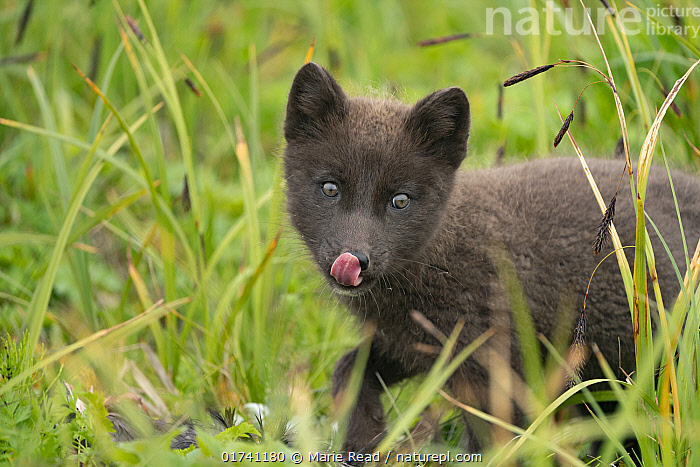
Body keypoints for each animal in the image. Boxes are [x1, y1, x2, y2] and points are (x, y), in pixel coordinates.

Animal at [282, 62, 700, 454]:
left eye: (400, 200)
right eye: (330, 188)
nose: (352, 259)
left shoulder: (494, 372)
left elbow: (490, 447)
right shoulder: (414, 346)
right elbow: (347, 367)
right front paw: (362, 440)